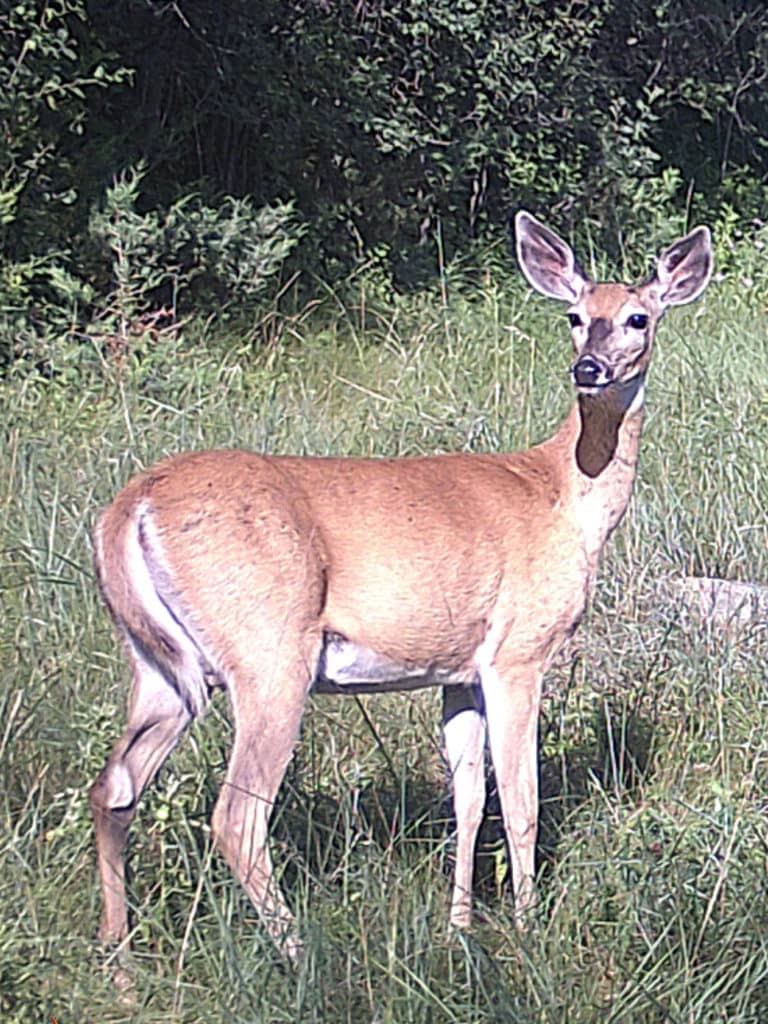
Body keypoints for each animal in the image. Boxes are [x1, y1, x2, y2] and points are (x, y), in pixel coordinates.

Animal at [90, 212, 713, 978]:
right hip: (269, 649)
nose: (588, 368)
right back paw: (305, 958)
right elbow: (522, 800)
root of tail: (130, 506)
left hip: (159, 664)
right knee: (236, 815)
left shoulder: (457, 669)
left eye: (636, 317)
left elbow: (469, 800)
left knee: (115, 787)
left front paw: (460, 928)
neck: (565, 496)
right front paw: (529, 930)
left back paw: (118, 959)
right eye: (573, 315)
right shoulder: (518, 651)